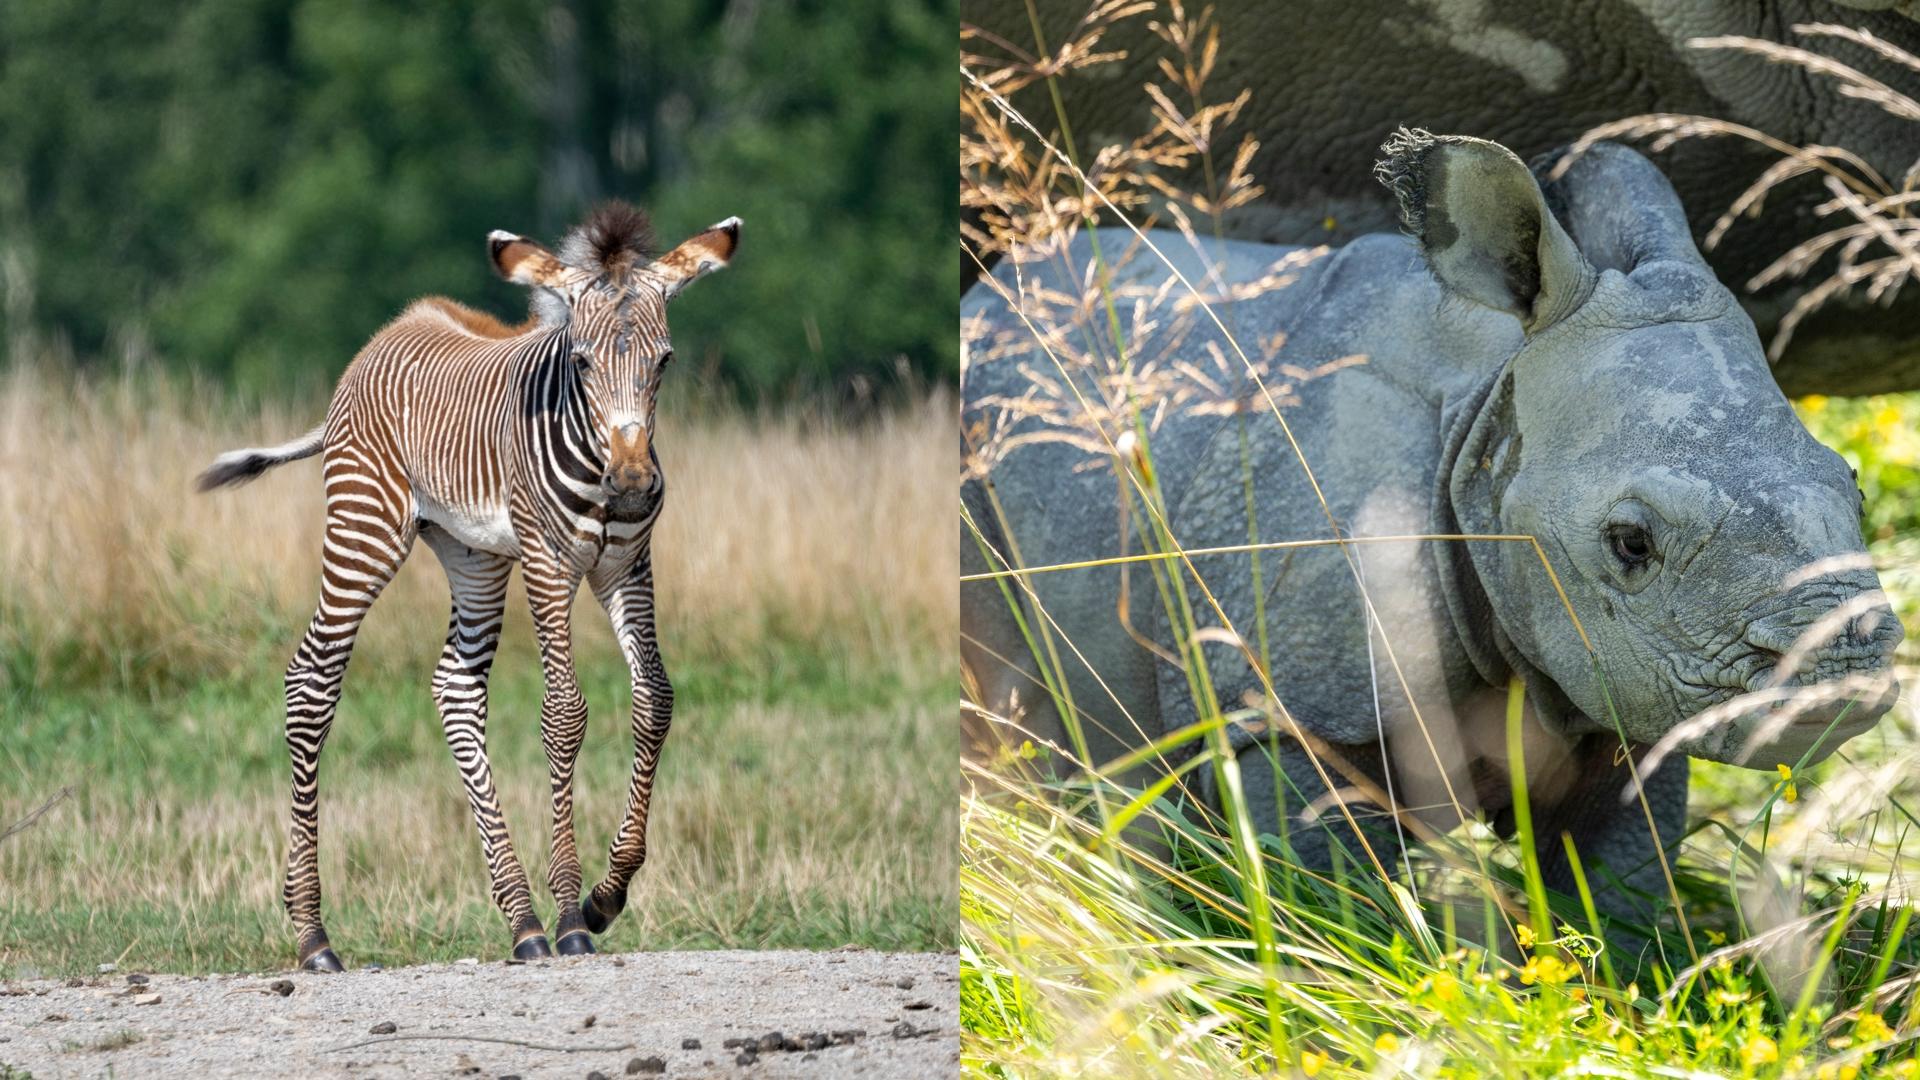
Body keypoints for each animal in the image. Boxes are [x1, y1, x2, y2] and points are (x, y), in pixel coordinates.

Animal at [196, 202, 739, 970]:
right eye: (581, 361)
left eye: (664, 361)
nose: (633, 484)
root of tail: (391, 329)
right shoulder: (547, 560)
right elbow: (565, 714)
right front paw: (573, 913)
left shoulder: (628, 566)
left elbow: (655, 701)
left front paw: (605, 896)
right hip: (364, 532)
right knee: (311, 680)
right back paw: (312, 934)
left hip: (472, 555)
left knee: (454, 688)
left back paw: (522, 922)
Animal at [960, 132, 1904, 922]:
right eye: (1631, 543)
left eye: (1852, 489)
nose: (1844, 670)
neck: (1487, 405)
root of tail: (987, 290)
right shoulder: (1299, 696)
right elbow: (1328, 896)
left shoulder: (1626, 683)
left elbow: (1621, 885)